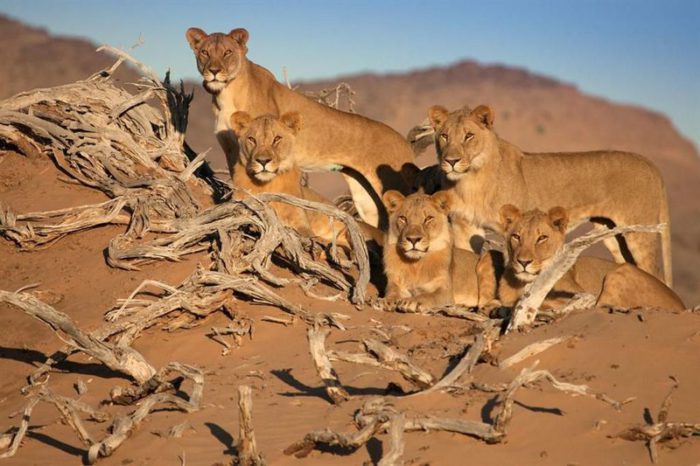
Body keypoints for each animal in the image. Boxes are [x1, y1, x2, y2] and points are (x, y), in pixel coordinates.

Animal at [186, 27, 415, 230]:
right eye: (205, 52)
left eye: (227, 52)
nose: (214, 71)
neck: (224, 94)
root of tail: (404, 143)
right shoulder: (232, 149)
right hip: (366, 198)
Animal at [426, 104, 673, 286]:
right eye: (444, 136)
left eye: (469, 136)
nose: (451, 161)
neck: (471, 180)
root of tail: (650, 163)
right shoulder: (464, 226)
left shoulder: (513, 228)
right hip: (613, 233)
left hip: (639, 232)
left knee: (655, 272)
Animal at [479, 205, 685, 312]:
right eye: (516, 236)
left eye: (542, 238)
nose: (523, 262)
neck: (522, 284)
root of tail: (681, 305)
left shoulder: (578, 294)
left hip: (619, 273)